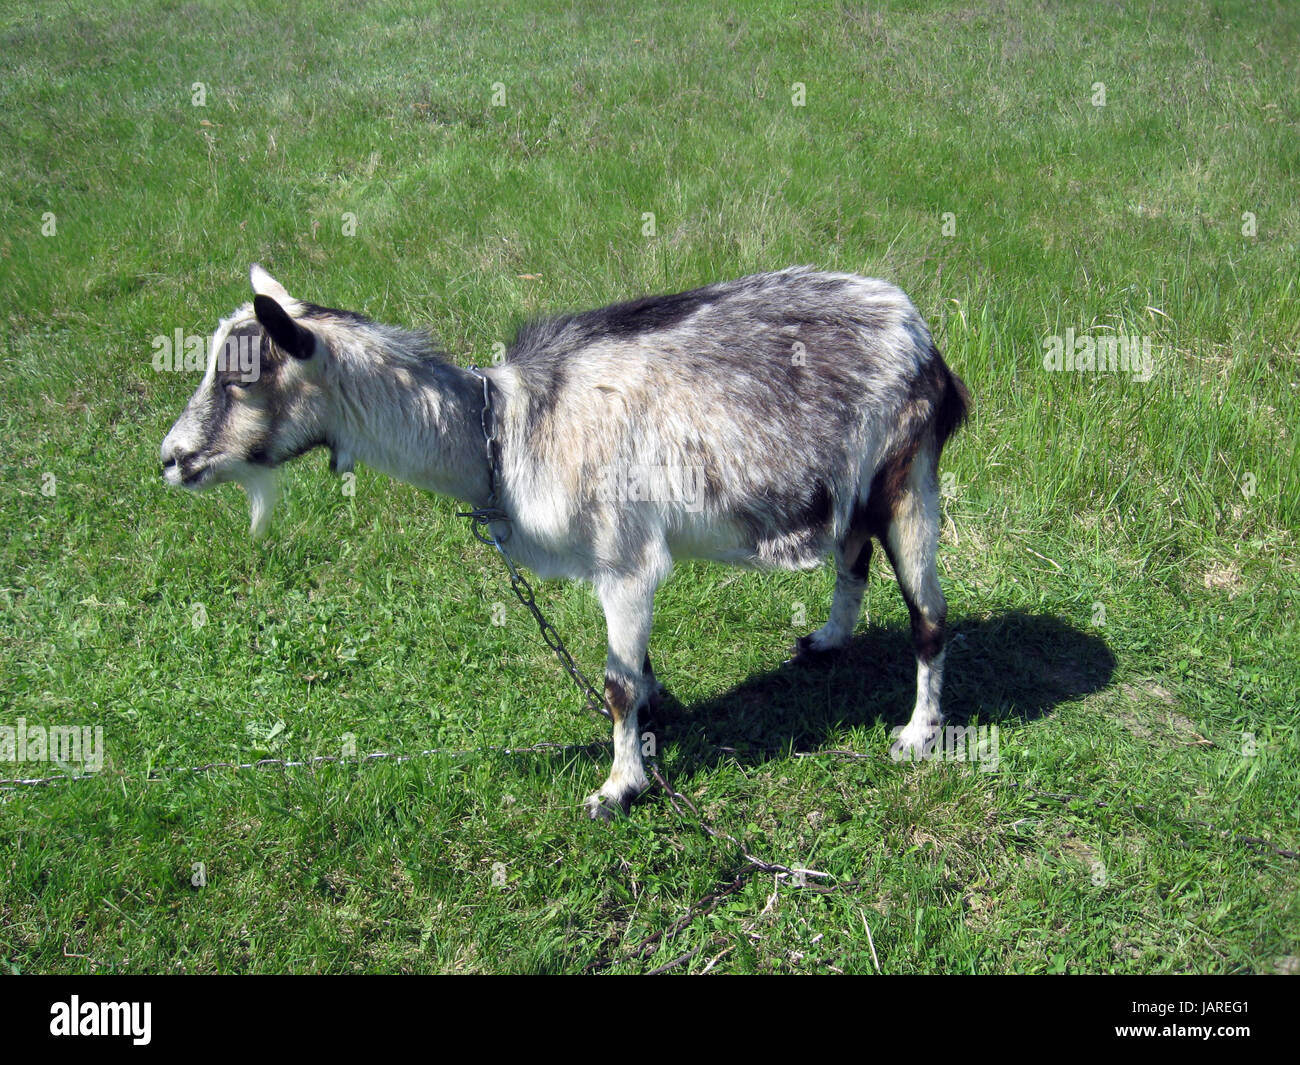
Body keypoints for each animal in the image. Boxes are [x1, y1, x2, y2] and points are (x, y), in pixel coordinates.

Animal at [161, 265, 970, 818]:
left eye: (240, 381)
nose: (171, 459)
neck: (502, 432)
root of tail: (919, 334)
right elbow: (635, 672)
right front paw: (654, 721)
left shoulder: (627, 560)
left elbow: (615, 683)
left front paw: (618, 787)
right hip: (852, 487)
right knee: (851, 555)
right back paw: (828, 639)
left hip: (909, 474)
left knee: (930, 615)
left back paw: (917, 732)